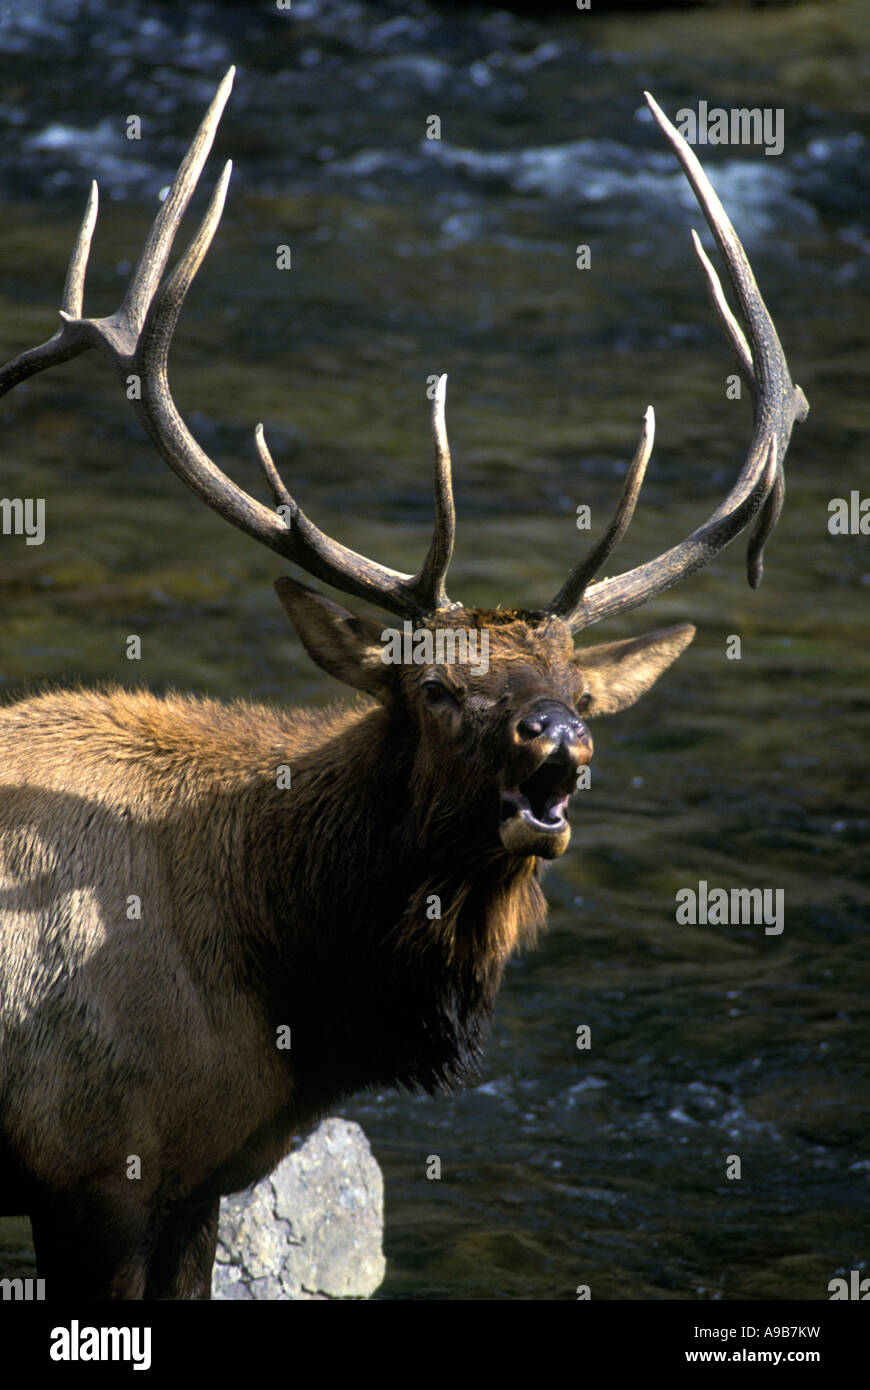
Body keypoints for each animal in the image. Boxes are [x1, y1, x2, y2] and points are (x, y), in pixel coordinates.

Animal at [0, 69, 807, 1299]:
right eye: (433, 690)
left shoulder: (197, 1180)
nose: (558, 739)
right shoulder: (93, 1165)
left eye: (582, 687)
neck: (283, 988)